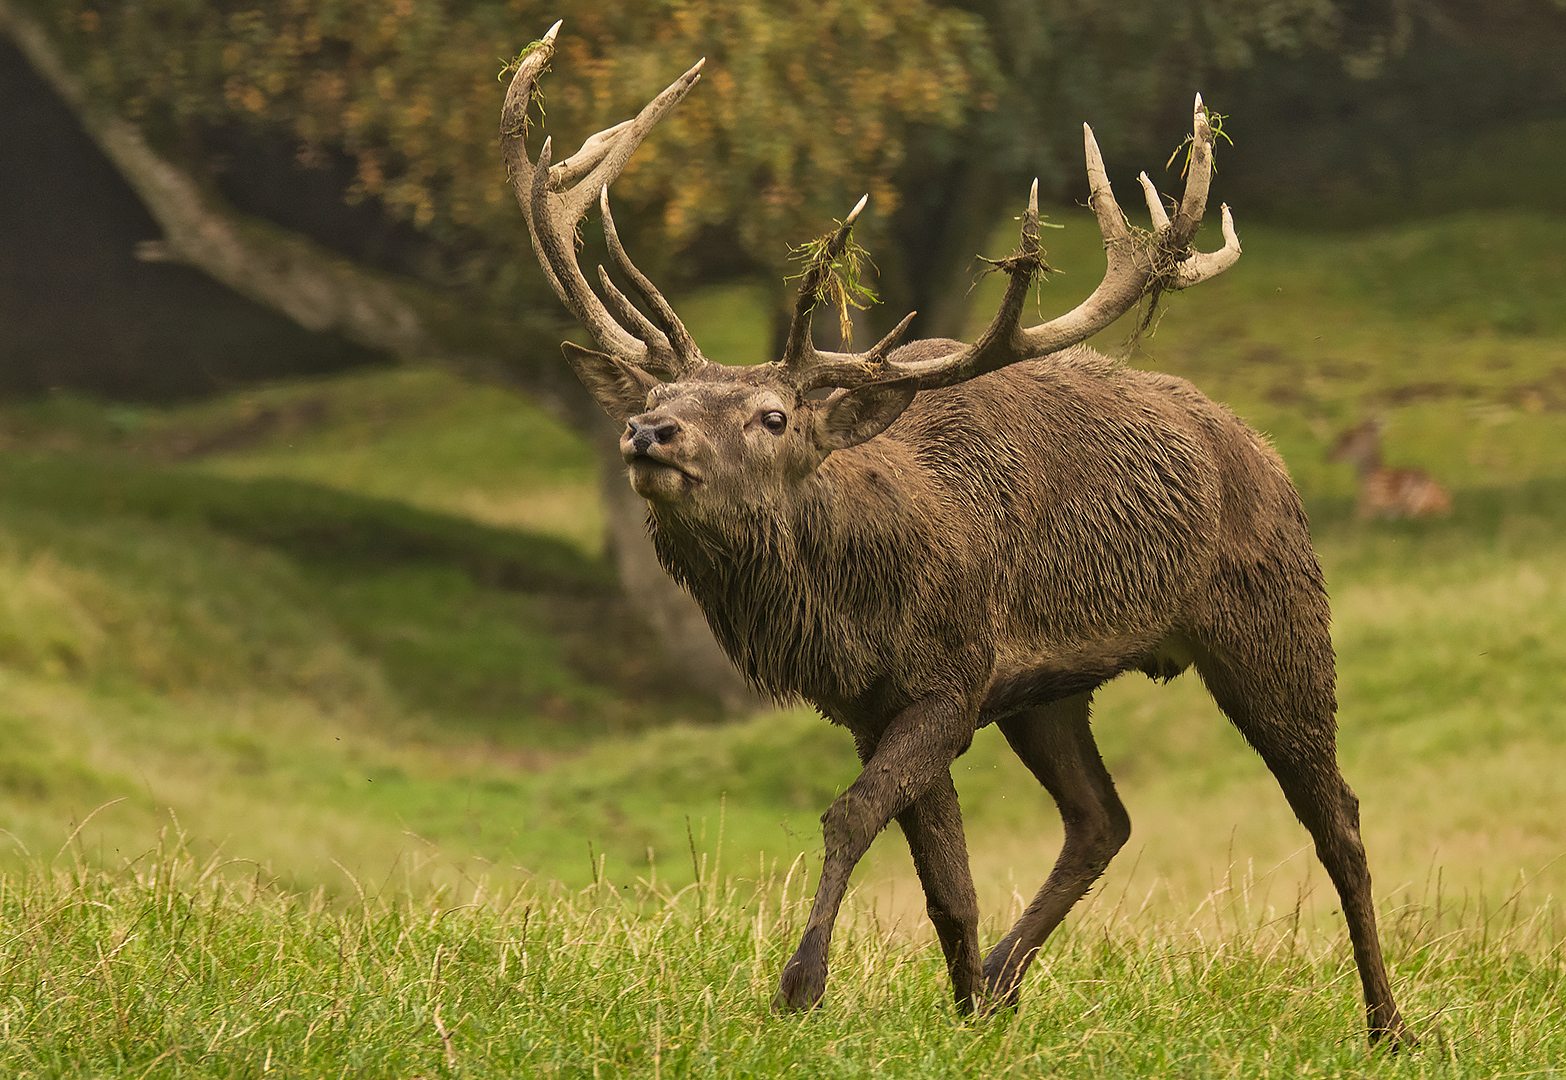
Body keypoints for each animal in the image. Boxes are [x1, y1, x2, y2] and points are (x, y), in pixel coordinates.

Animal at [500, 21, 1411, 1046]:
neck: (853, 598)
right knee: (1104, 818)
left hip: (1277, 617)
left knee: (1336, 814)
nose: (648, 432)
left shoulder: (951, 672)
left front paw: (800, 986)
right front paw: (963, 1002)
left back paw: (1387, 1022)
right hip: (1052, 689)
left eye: (774, 417)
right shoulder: (885, 700)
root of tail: (1265, 452)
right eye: (658, 394)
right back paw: (1006, 983)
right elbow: (947, 880)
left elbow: (852, 819)